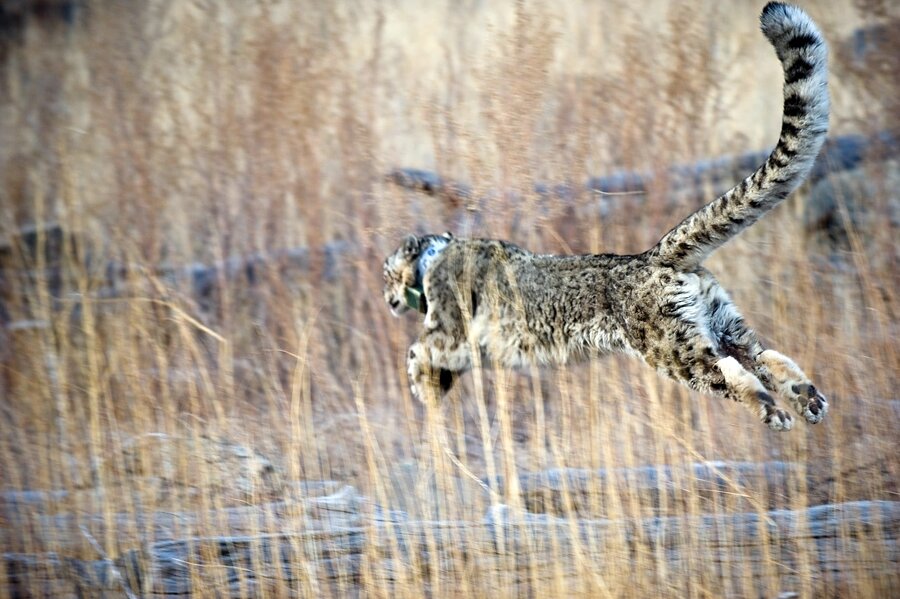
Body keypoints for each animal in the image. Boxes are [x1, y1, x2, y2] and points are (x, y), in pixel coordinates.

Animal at [382, 1, 828, 432]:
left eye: (386, 274)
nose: (387, 300)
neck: (433, 263)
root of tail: (654, 255)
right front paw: (433, 391)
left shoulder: (449, 331)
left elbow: (418, 347)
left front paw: (419, 385)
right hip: (722, 322)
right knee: (764, 355)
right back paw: (809, 400)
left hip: (671, 349)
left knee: (729, 369)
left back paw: (774, 412)